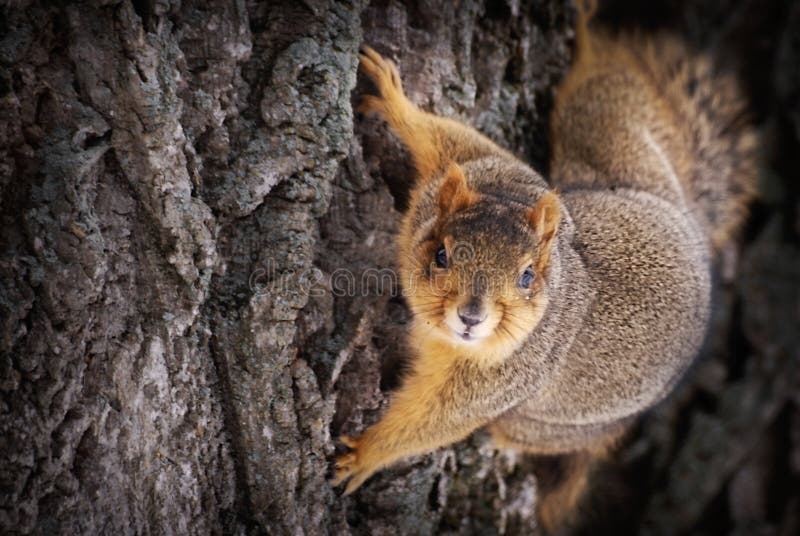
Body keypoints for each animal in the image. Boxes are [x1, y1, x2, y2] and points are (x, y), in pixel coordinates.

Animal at [333, 0, 758, 529]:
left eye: (527, 276)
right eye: (441, 255)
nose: (471, 317)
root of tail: (695, 237)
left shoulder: (497, 382)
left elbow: (433, 422)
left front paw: (366, 453)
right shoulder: (485, 167)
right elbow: (442, 135)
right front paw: (395, 99)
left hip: (544, 424)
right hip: (617, 153)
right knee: (610, 101)